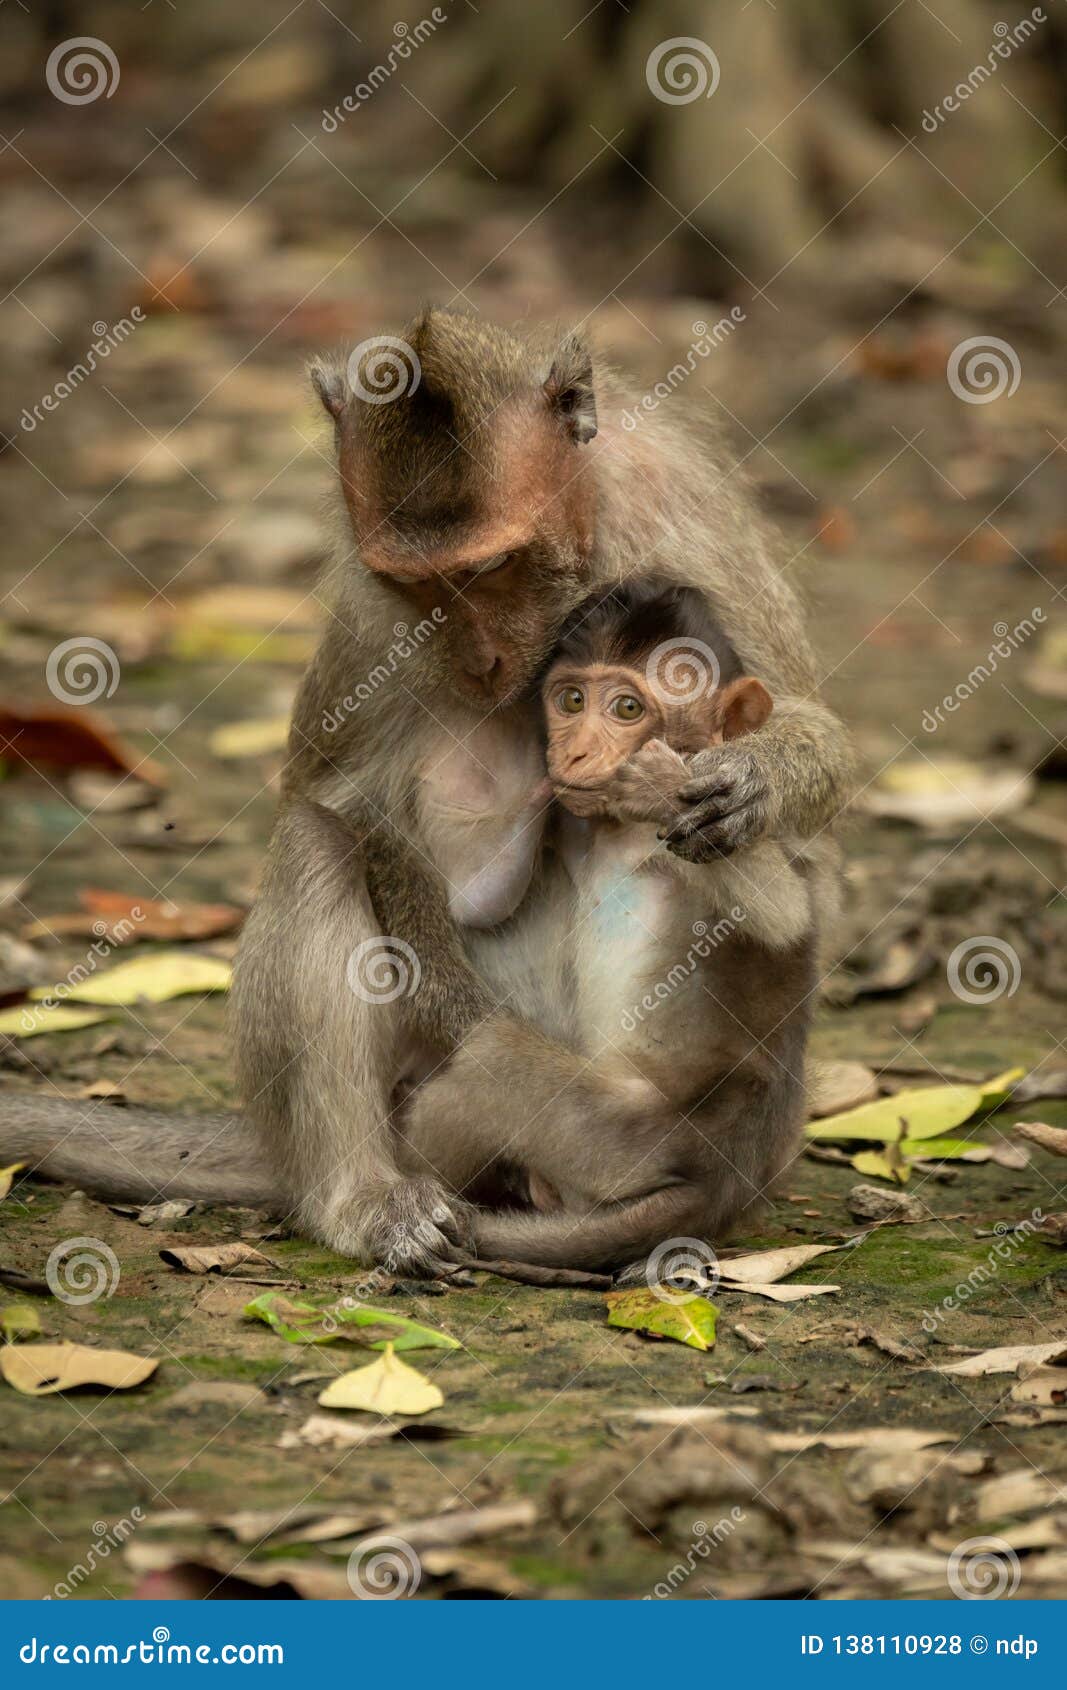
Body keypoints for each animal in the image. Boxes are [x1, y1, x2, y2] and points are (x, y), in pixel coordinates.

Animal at [396, 578, 837, 1267]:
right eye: (572, 700)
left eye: (628, 708)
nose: (574, 750)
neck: (625, 837)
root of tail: (719, 1181)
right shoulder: (581, 825)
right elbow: (476, 899)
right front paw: (536, 782)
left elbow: (783, 919)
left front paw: (662, 786)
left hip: (622, 1145)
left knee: (494, 1065)